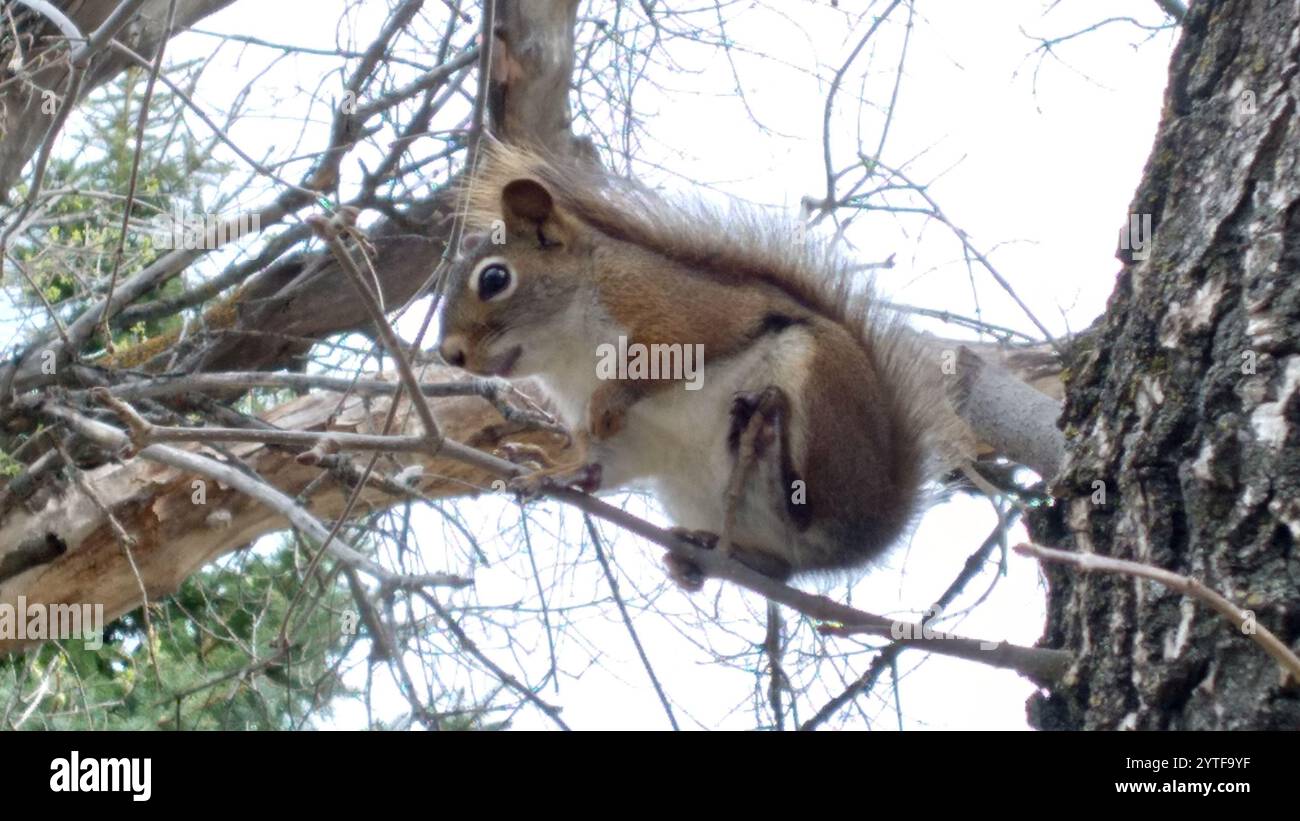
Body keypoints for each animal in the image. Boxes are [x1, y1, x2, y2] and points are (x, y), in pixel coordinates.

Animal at [437, 141, 949, 591]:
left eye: (495, 278)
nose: (449, 354)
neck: (568, 350)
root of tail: (876, 525)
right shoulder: (619, 434)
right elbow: (598, 465)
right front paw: (550, 473)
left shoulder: (679, 313)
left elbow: (665, 357)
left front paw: (608, 400)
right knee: (780, 566)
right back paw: (705, 553)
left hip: (819, 386)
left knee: (809, 510)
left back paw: (766, 433)